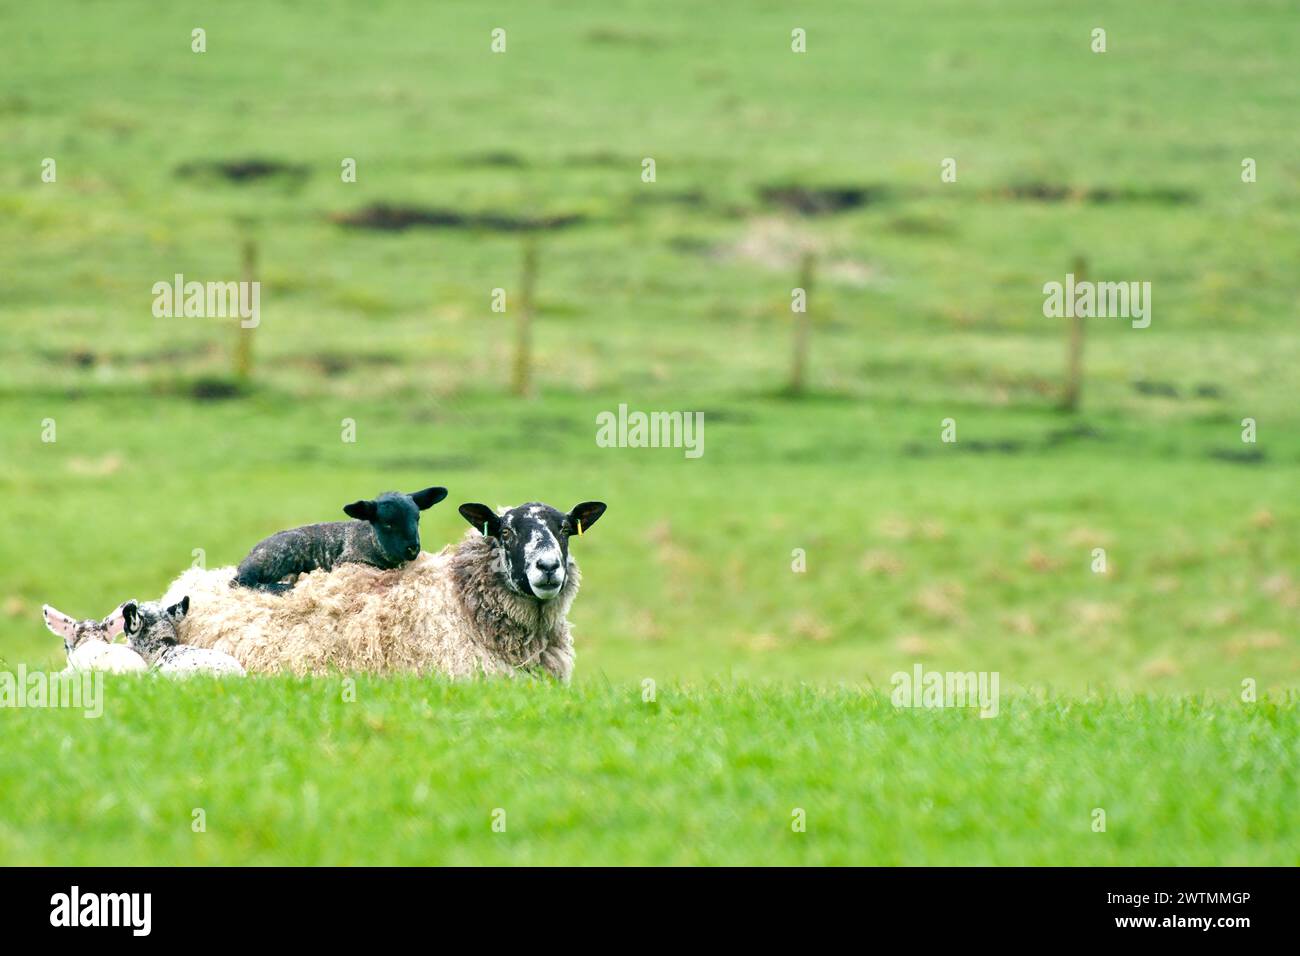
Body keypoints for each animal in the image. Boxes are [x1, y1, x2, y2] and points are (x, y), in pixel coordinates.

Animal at [233, 486, 448, 592]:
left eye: (417, 518)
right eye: (388, 523)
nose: (413, 548)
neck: (371, 540)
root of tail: (247, 558)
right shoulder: (347, 561)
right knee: (241, 582)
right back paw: (280, 588)